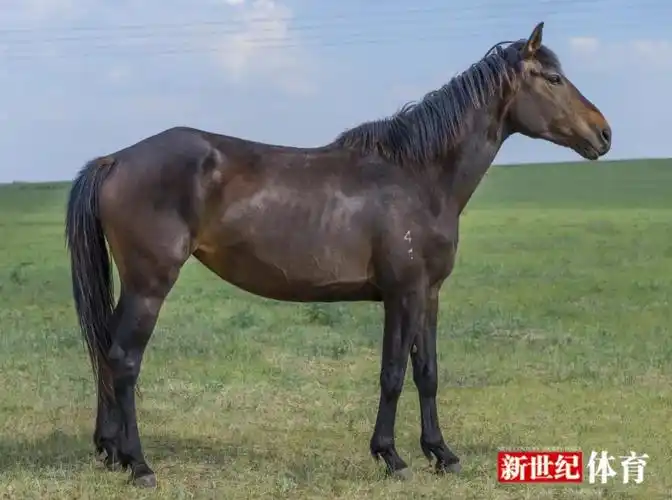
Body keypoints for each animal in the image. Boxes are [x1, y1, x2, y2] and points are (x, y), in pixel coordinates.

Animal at [65, 22, 611, 488]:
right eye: (554, 78)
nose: (603, 133)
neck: (418, 178)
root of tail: (115, 160)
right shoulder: (403, 294)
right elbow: (392, 374)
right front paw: (391, 456)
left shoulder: (429, 294)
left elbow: (428, 373)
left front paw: (442, 454)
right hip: (150, 284)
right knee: (124, 360)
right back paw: (139, 465)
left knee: (107, 353)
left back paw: (111, 451)